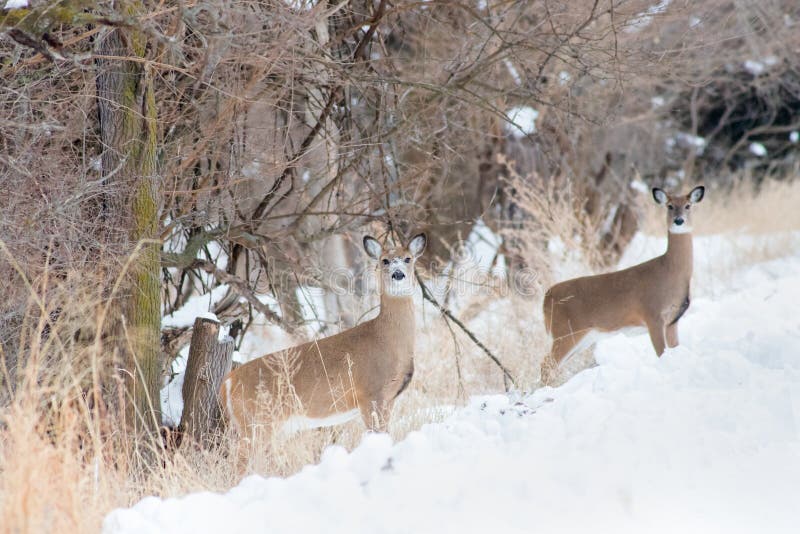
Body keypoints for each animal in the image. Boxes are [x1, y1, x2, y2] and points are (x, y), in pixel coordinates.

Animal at [219, 233, 427, 441]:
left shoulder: (387, 398)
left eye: (408, 258)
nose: (398, 274)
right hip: (259, 421)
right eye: (384, 260)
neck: (388, 338)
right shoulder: (371, 393)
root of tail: (227, 383)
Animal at [540, 186, 705, 384]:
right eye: (670, 206)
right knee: (546, 364)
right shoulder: (652, 315)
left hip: (582, 337)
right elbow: (661, 353)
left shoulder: (673, 321)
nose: (679, 220)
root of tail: (547, 297)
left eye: (688, 205)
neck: (670, 272)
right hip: (565, 331)